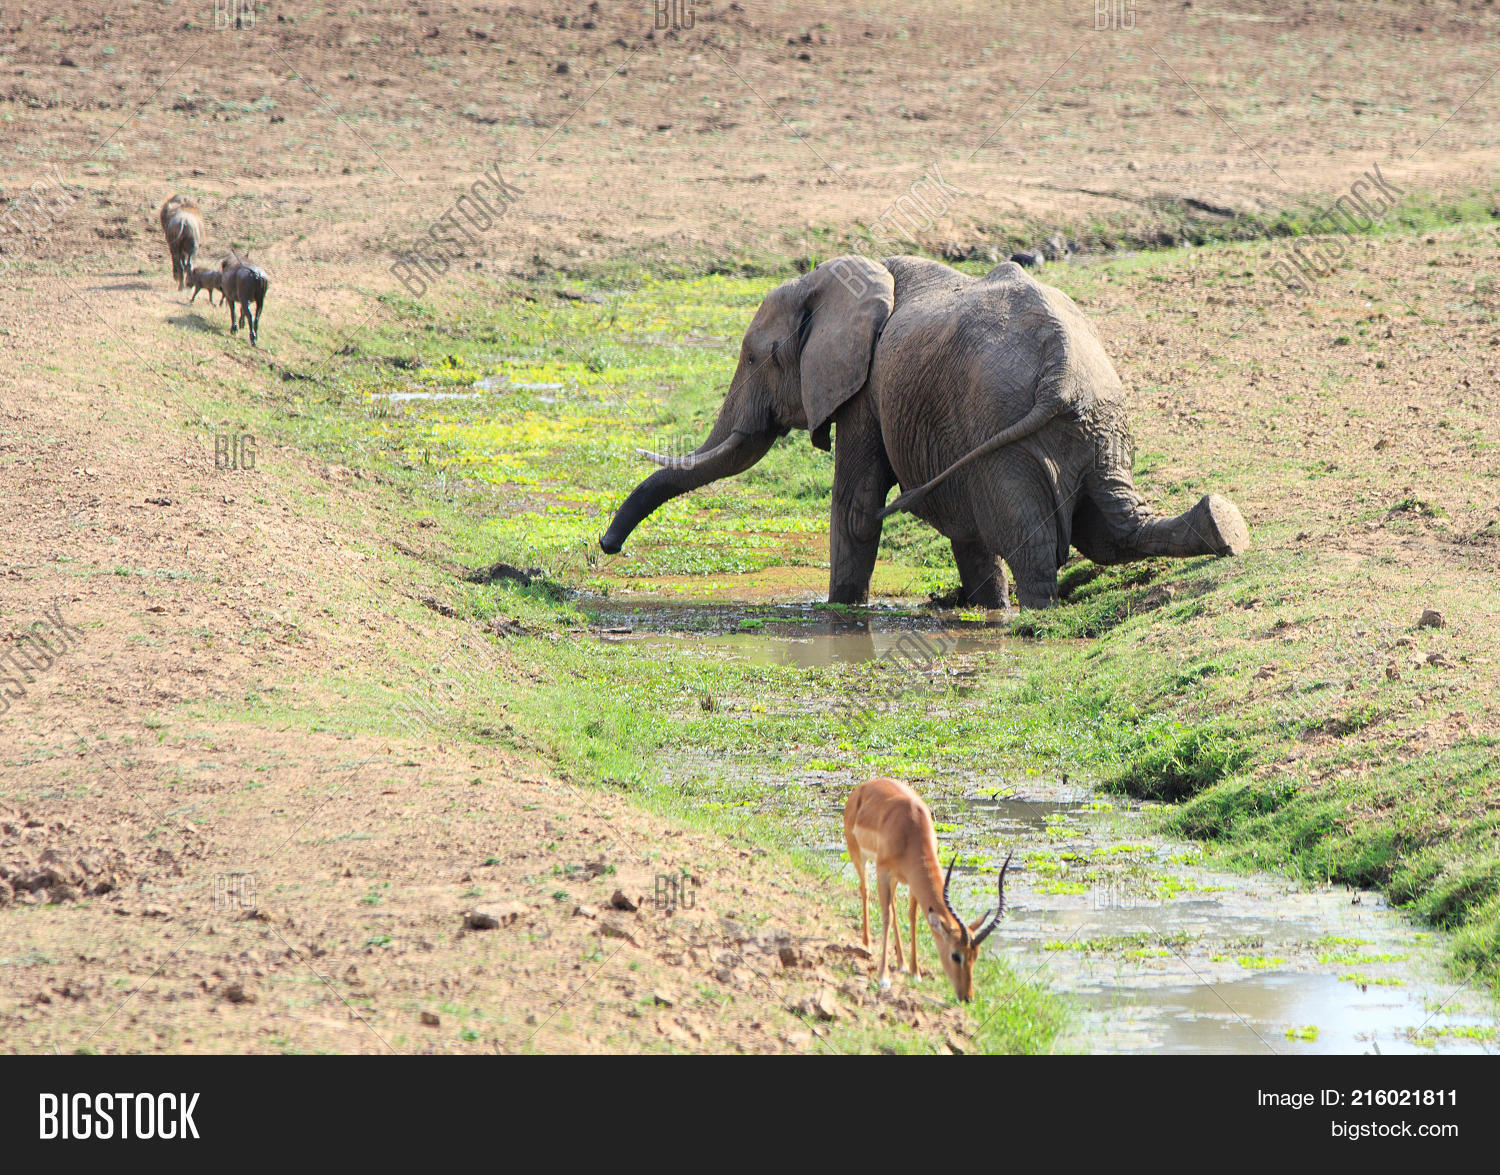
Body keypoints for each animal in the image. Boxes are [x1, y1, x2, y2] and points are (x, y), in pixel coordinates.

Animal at [599, 254, 1248, 609]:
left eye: (761, 358)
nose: (606, 548)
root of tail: (1062, 373)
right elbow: (966, 529)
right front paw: (987, 609)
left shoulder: (866, 392)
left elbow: (857, 507)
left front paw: (840, 613)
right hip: (1095, 428)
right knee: (1111, 531)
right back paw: (1223, 527)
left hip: (1009, 436)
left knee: (1041, 550)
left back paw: (1036, 621)